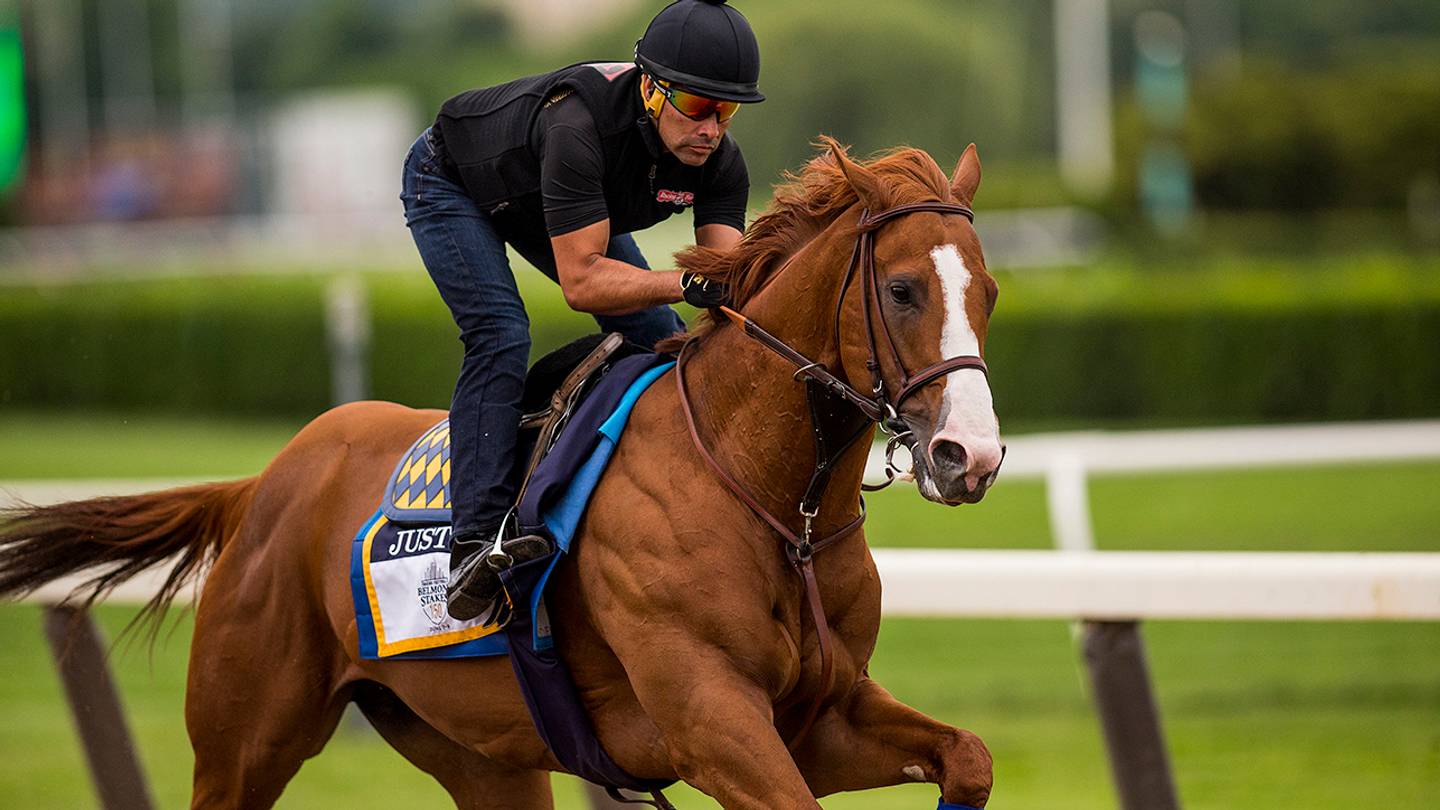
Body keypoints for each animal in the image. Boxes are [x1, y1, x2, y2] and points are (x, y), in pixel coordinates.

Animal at [0, 137, 1003, 810]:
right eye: (902, 290)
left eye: (988, 293)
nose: (973, 456)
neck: (768, 496)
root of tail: (264, 484)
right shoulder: (710, 721)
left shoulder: (819, 715)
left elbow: (970, 756)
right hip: (244, 738)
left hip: (483, 751)